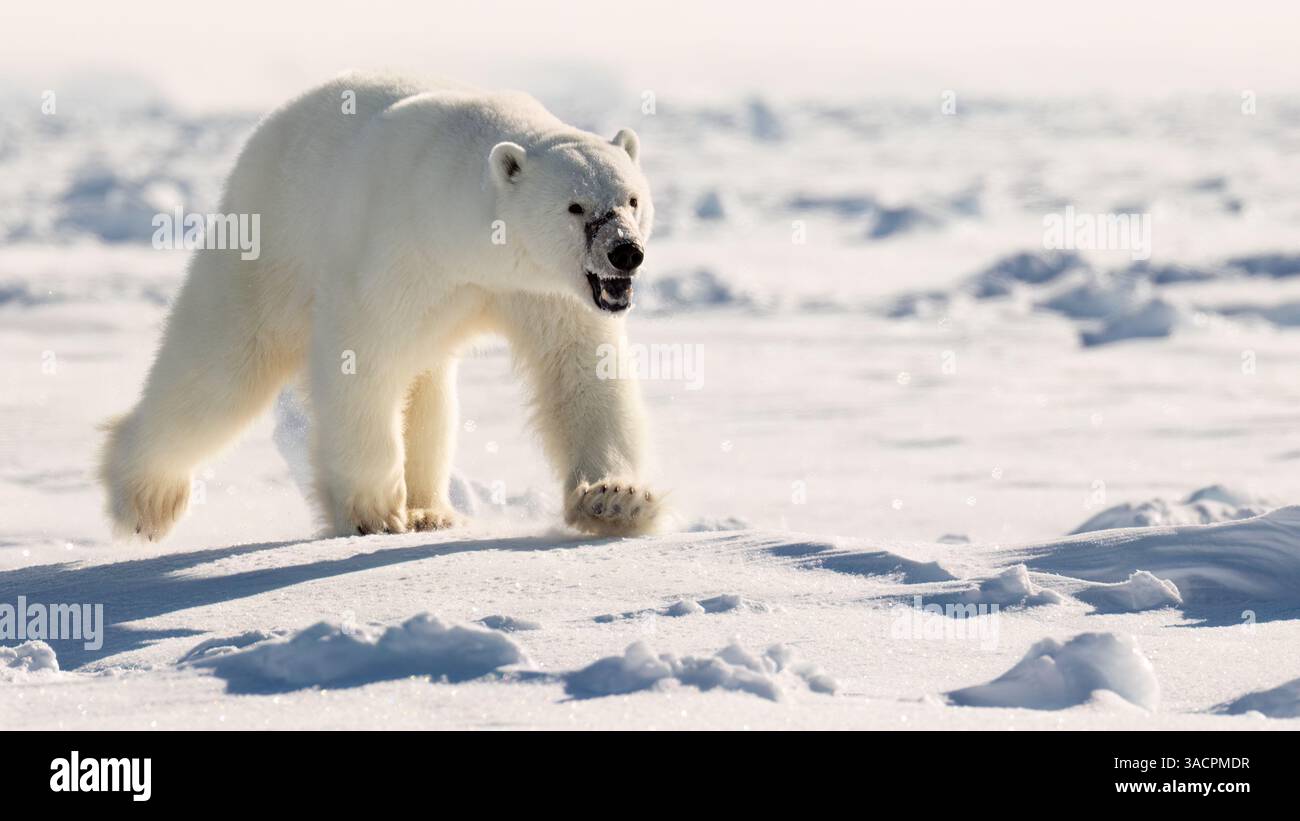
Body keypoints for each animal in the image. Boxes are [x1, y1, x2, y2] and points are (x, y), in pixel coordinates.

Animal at [100, 73, 662, 541]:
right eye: (575, 207)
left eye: (631, 199)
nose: (625, 252)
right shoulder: (398, 250)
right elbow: (363, 357)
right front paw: (372, 512)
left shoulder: (544, 290)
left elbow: (580, 369)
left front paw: (616, 499)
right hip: (271, 244)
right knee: (222, 367)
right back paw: (146, 498)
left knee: (428, 394)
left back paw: (430, 509)